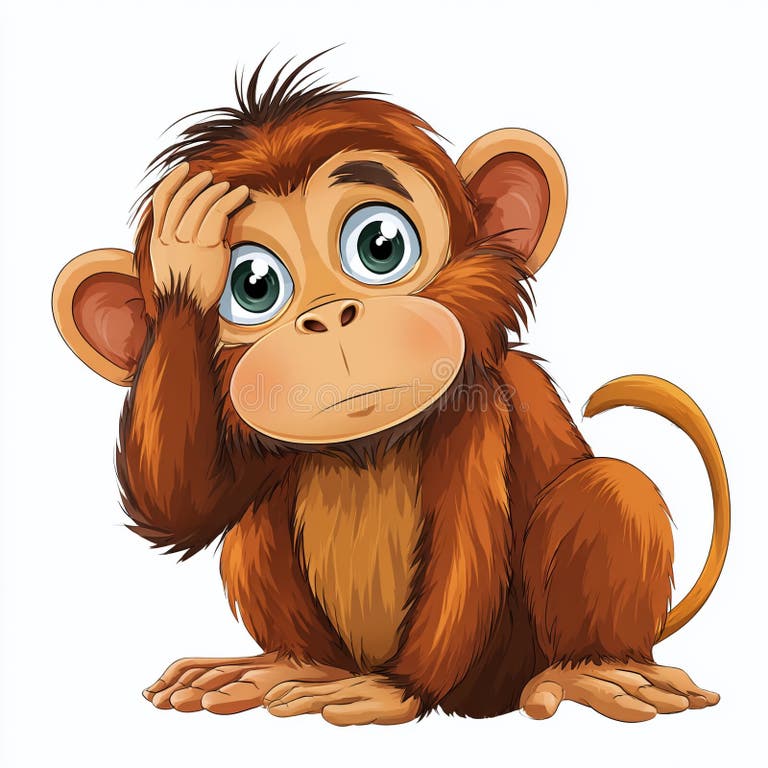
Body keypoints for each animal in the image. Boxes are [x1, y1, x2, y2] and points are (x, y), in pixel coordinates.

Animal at [52, 54, 729, 726]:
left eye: (381, 245)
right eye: (253, 285)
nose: (329, 318)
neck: (372, 446)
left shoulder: (484, 407)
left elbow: (468, 550)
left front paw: (394, 692)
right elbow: (185, 505)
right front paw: (183, 260)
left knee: (608, 486)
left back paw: (588, 669)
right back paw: (291, 666)